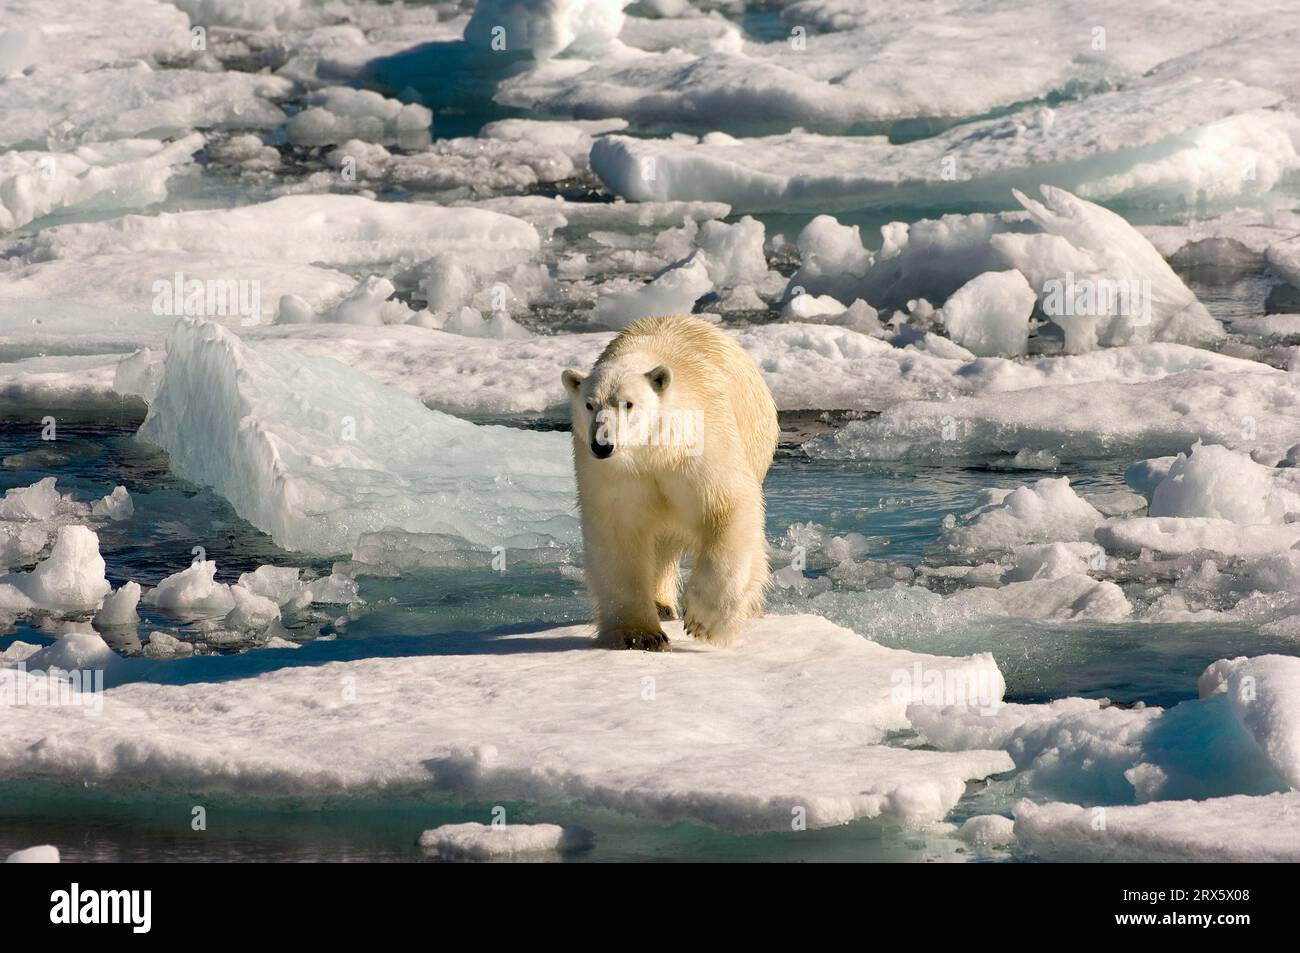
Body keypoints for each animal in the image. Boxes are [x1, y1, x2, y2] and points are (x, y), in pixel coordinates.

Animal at [561, 314, 779, 650]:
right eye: (589, 404)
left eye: (628, 404)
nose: (602, 445)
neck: (652, 451)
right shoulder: (614, 474)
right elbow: (619, 531)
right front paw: (639, 634)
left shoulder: (697, 446)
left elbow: (727, 506)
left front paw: (704, 621)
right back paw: (661, 605)